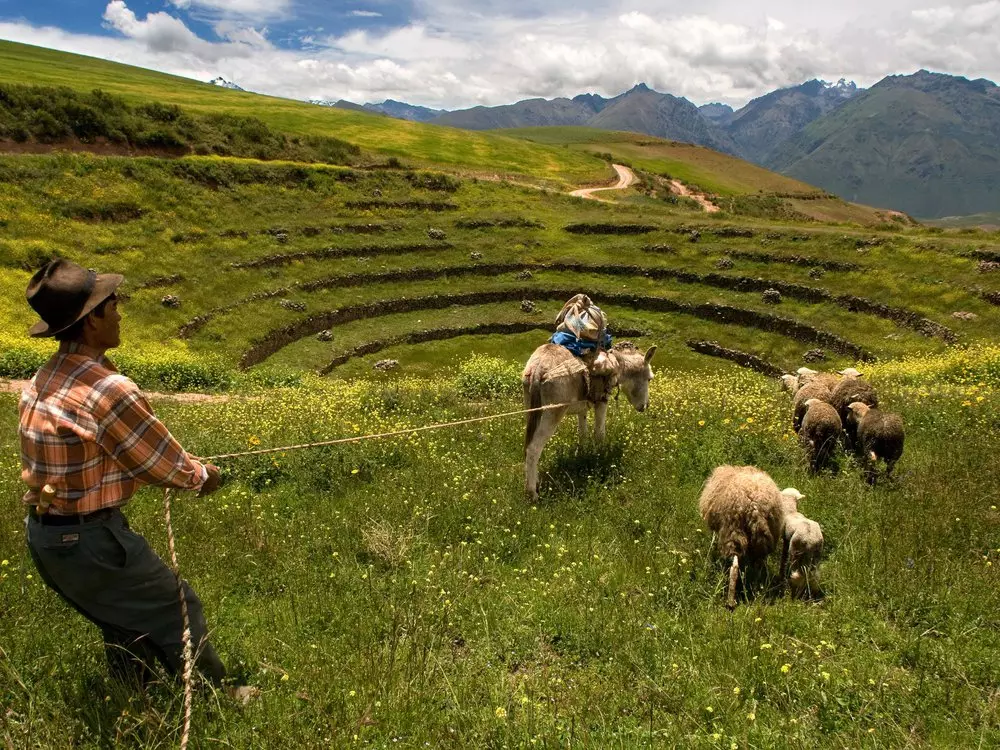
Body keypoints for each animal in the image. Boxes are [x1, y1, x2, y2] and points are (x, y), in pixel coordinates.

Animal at [700, 470, 800, 612]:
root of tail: (754, 505)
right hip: (761, 537)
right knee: (757, 566)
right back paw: (756, 591)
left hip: (733, 530)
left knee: (735, 567)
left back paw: (730, 602)